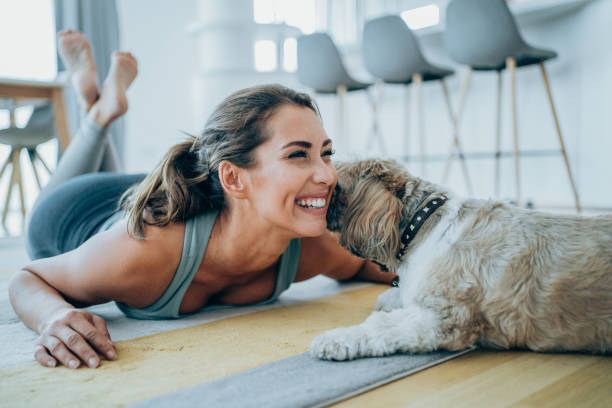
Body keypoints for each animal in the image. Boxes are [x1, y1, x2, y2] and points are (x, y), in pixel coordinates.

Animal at [310, 159, 612, 360]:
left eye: (336, 185)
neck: (422, 224)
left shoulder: (444, 319)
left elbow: (380, 327)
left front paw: (336, 339)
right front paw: (391, 297)